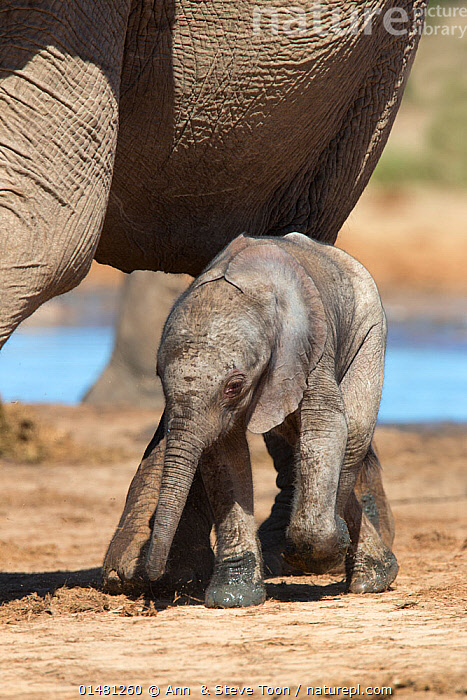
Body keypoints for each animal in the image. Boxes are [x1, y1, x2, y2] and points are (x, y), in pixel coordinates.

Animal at [105, 233, 398, 608]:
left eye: (234, 386)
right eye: (158, 377)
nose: (151, 576)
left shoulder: (306, 350)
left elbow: (326, 425)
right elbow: (224, 456)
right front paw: (233, 598)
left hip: (369, 328)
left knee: (353, 431)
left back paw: (362, 573)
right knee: (300, 438)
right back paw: (374, 573)